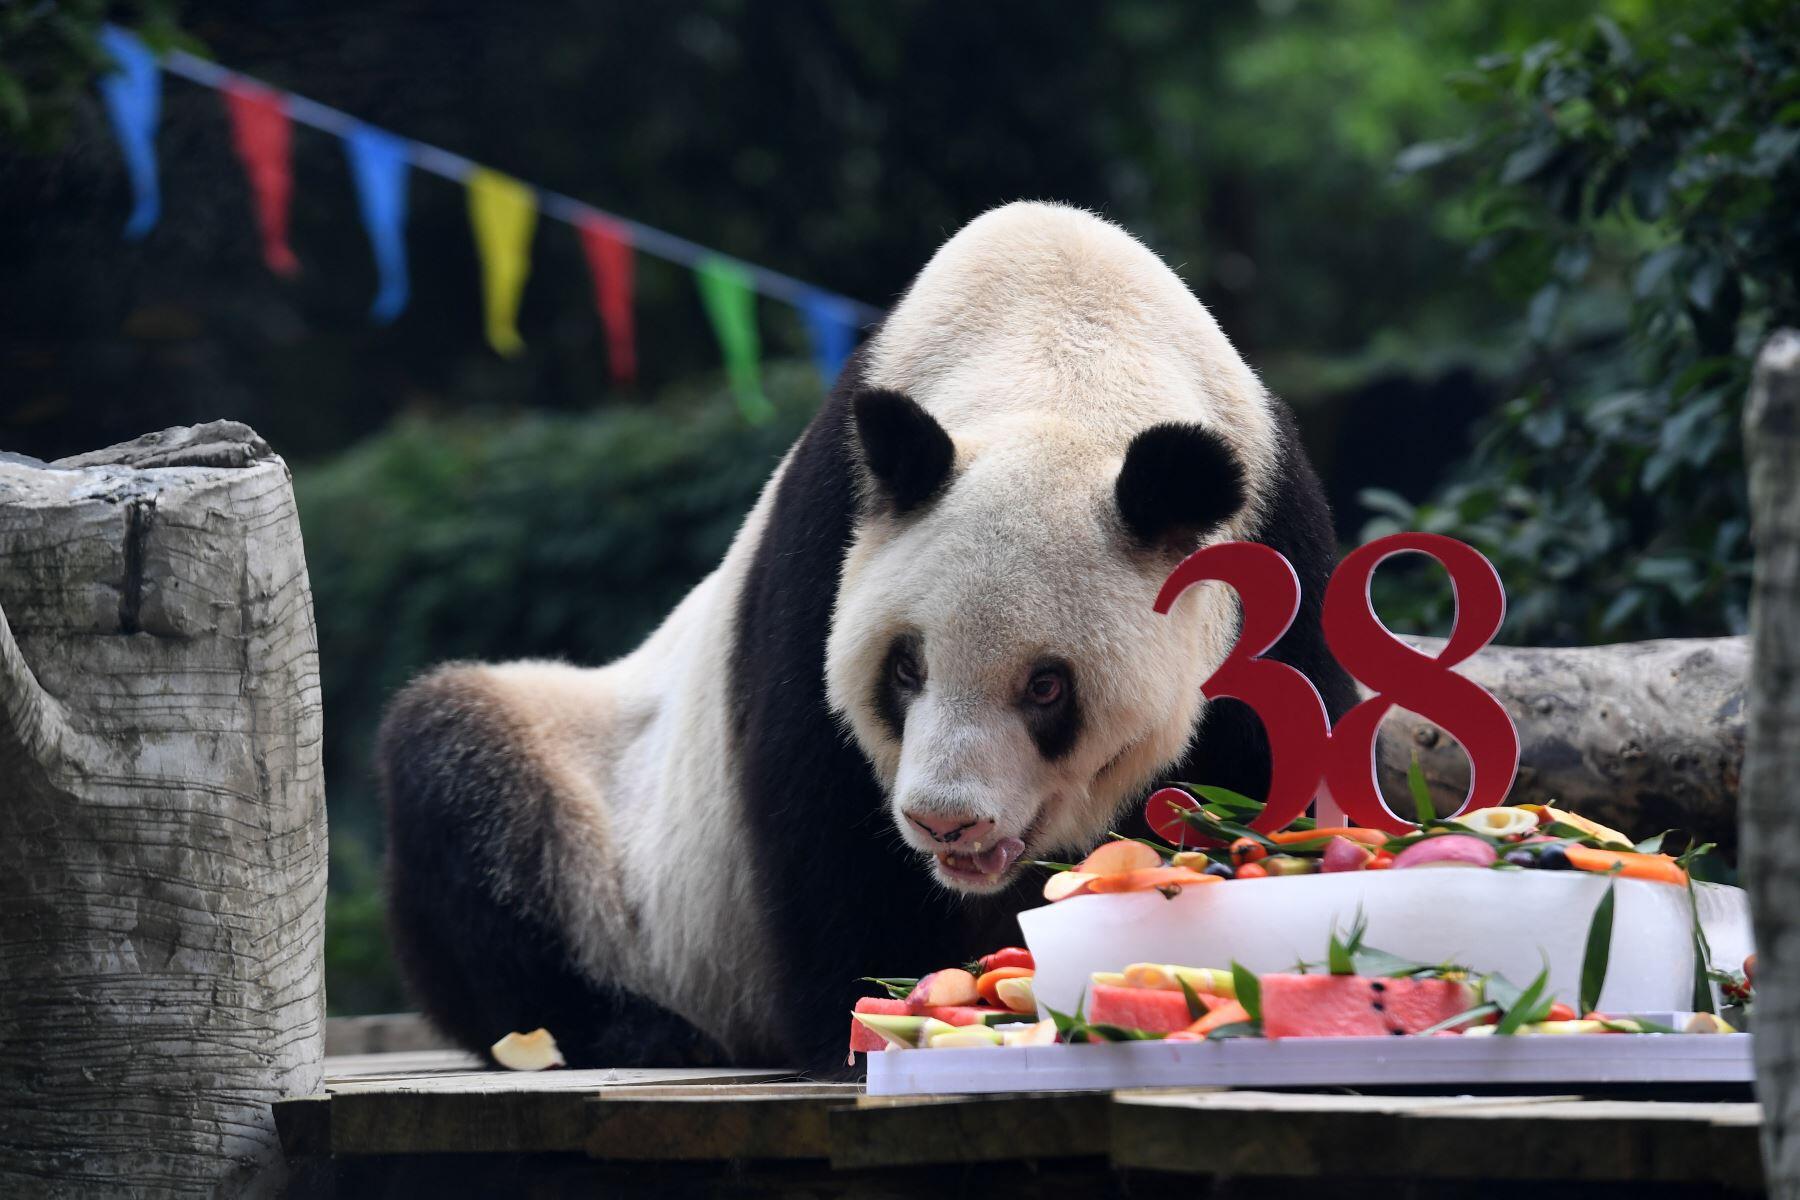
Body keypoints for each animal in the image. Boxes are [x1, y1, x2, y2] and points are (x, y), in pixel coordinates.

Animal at [378, 201, 1357, 1073]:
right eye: (906, 668)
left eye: (1047, 686)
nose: (944, 820)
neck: (1064, 354)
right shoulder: (833, 535)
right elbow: (823, 803)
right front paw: (869, 1013)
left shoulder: (1272, 542)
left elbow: (1279, 755)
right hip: (603, 828)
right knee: (460, 780)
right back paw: (636, 1030)